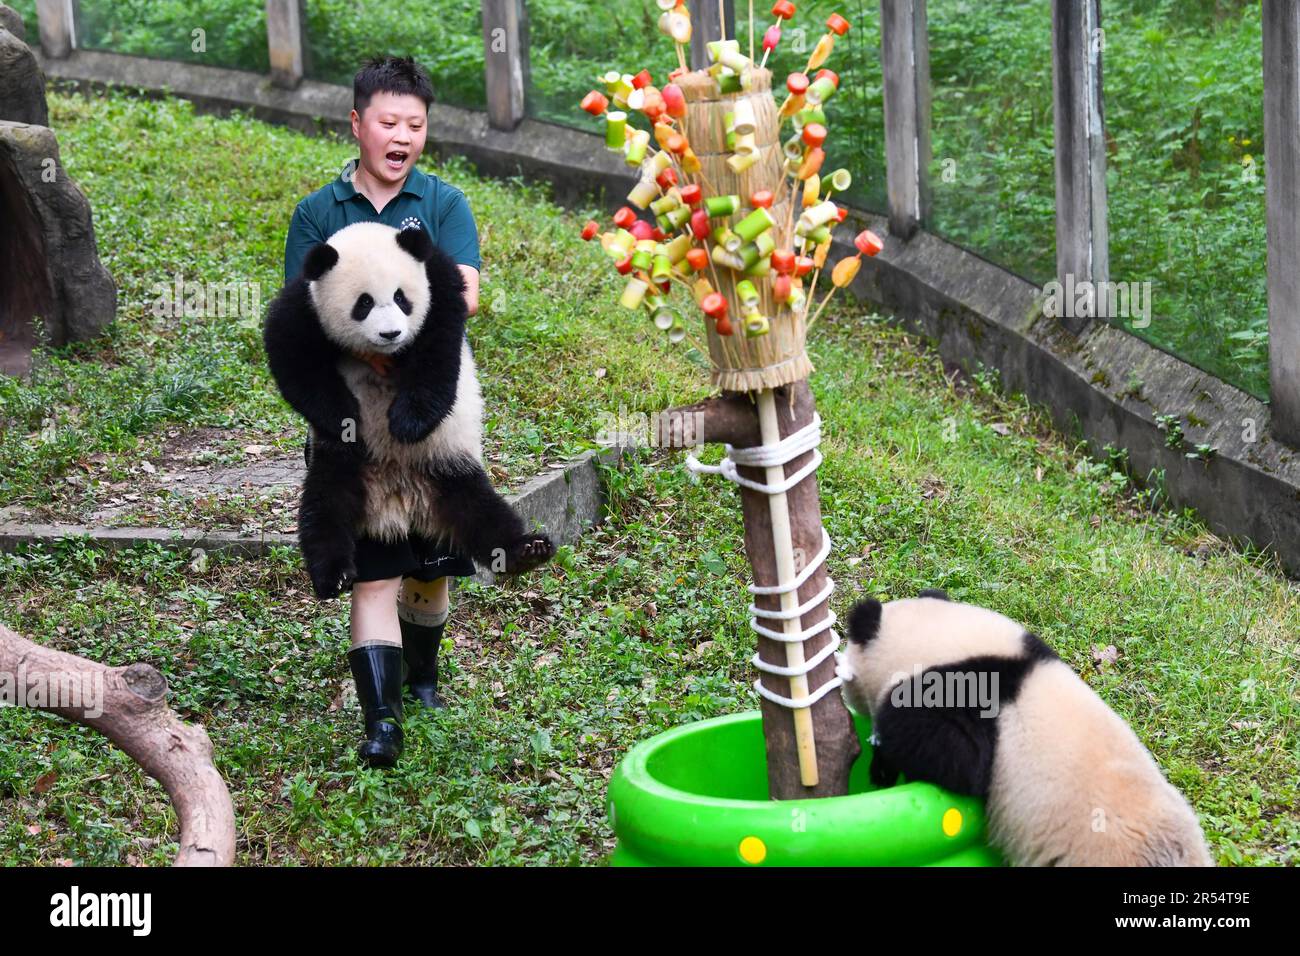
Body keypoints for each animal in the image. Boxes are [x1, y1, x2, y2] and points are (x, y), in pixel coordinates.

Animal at [263, 220, 553, 599]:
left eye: (402, 298)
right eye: (364, 303)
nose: (391, 334)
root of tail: (401, 501)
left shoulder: (440, 288)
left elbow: (436, 356)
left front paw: (407, 424)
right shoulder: (305, 305)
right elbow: (293, 359)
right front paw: (347, 420)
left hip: (449, 464)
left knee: (483, 513)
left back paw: (527, 550)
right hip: (342, 465)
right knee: (325, 509)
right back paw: (332, 575)